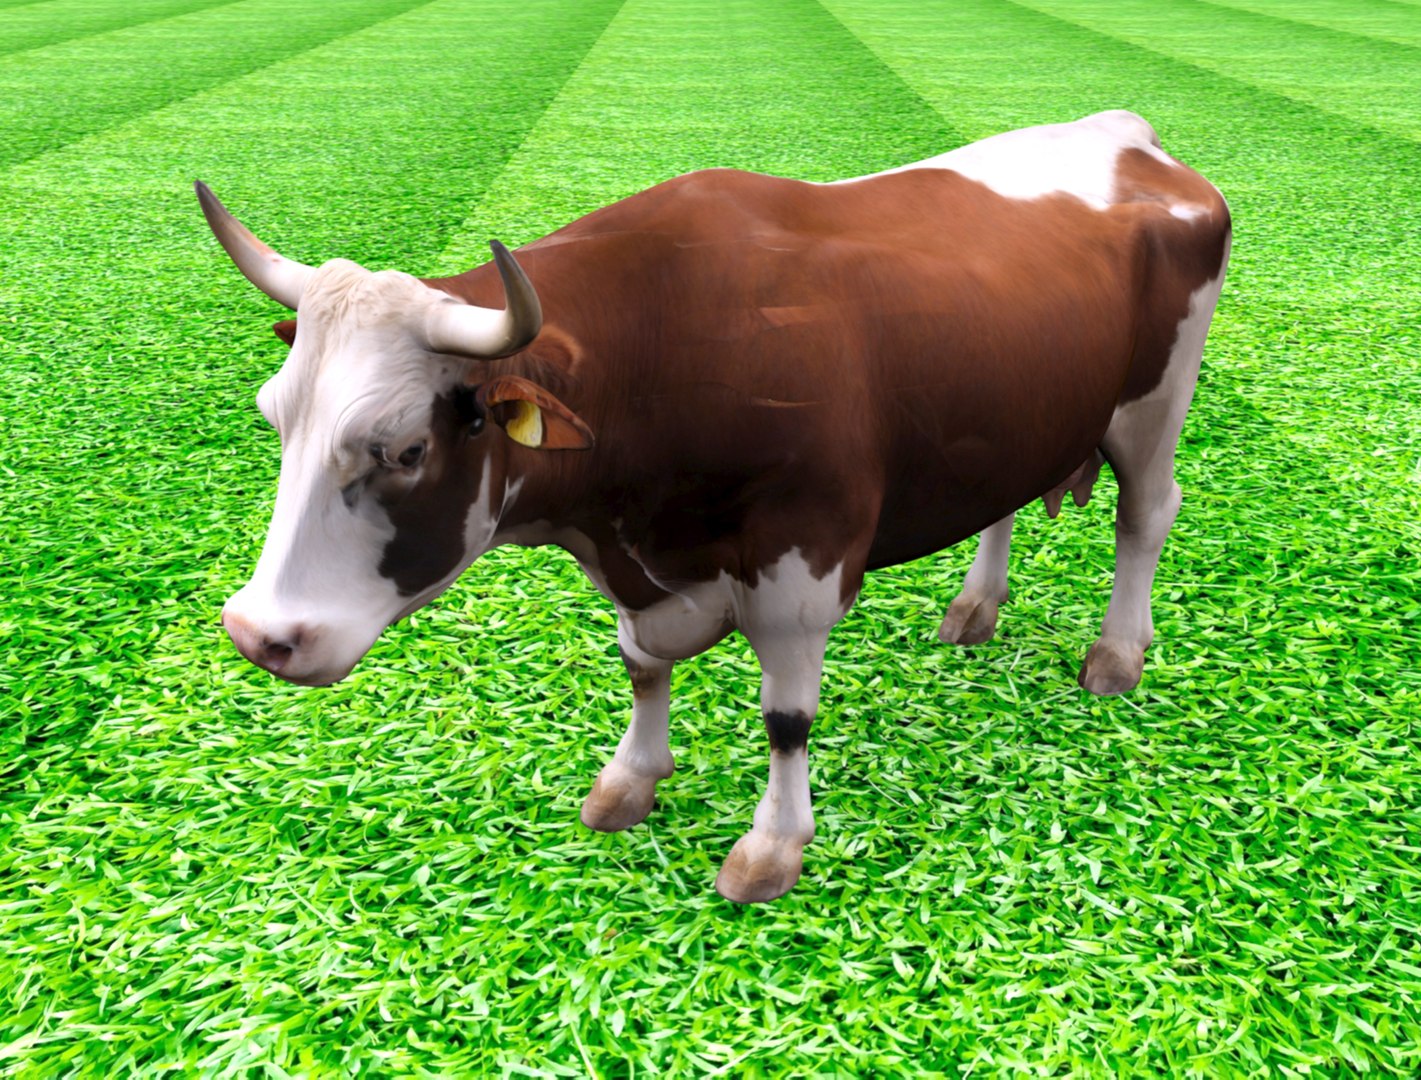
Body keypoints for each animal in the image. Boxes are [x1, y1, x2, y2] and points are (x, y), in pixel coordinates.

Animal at [202, 110, 1230, 902]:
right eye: (272, 413)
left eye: (407, 451)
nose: (257, 635)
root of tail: (1125, 134)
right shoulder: (643, 572)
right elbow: (640, 668)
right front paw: (629, 781)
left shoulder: (803, 559)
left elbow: (785, 718)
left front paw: (771, 846)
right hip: (1015, 408)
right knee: (1006, 500)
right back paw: (975, 607)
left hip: (1153, 403)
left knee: (1146, 516)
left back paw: (1116, 654)